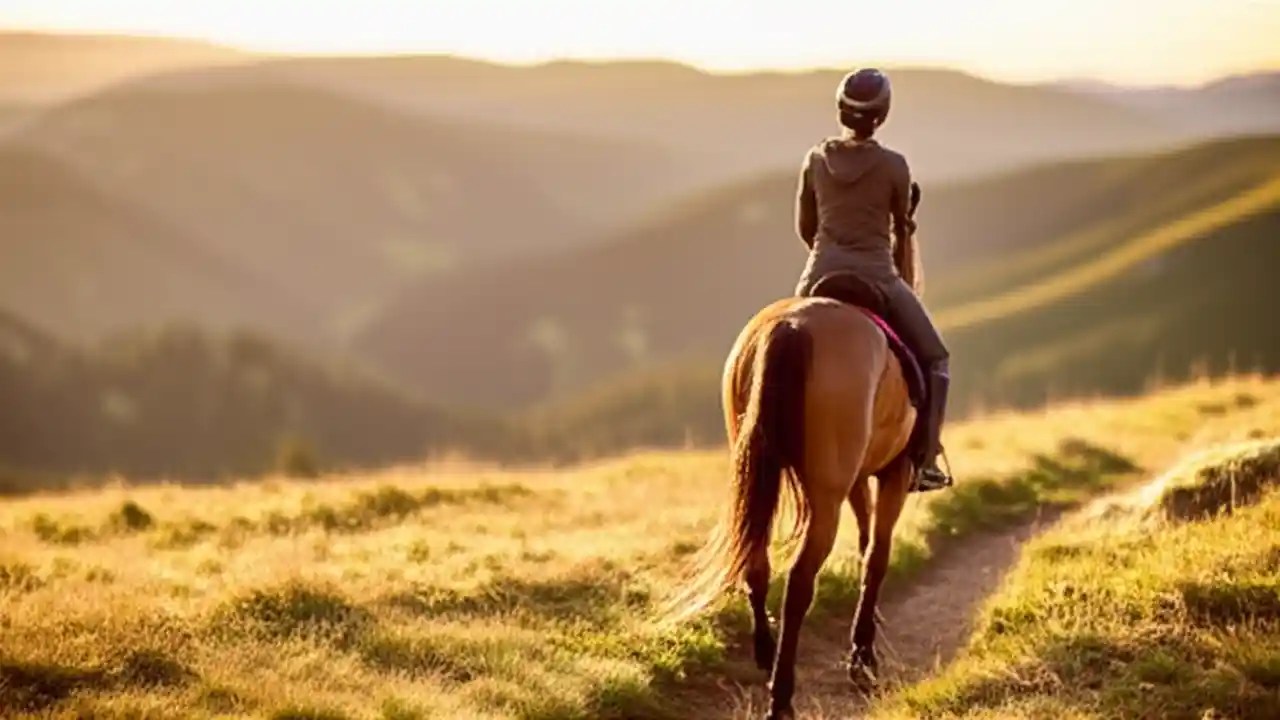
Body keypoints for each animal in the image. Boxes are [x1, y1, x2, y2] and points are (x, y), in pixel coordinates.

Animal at [670, 290, 919, 719]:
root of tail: (791, 325)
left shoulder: (857, 478)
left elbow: (866, 541)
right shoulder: (895, 472)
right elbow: (877, 554)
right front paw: (863, 654)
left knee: (757, 565)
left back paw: (767, 656)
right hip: (827, 499)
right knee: (800, 582)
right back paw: (782, 697)